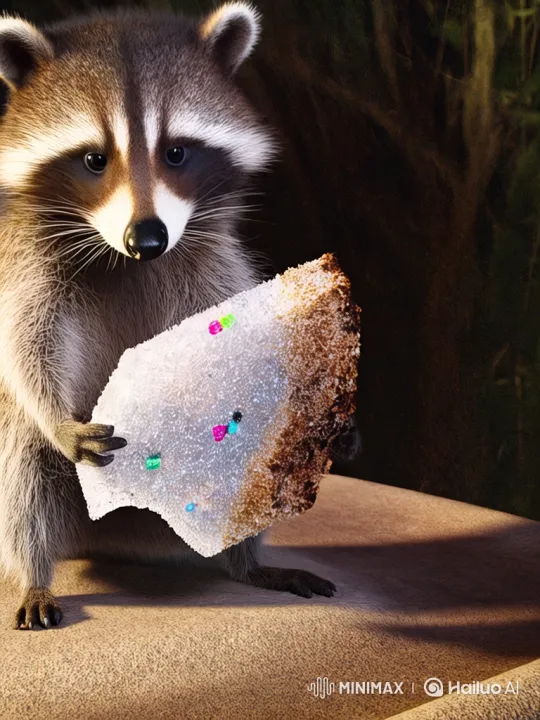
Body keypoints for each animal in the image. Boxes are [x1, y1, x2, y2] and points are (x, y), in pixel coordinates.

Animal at [0, 3, 338, 630]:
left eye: (177, 152)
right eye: (94, 160)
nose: (148, 238)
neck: (123, 257)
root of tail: (115, 537)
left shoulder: (212, 261)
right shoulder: (27, 256)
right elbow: (24, 339)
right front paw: (54, 417)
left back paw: (245, 561)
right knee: (23, 458)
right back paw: (35, 574)